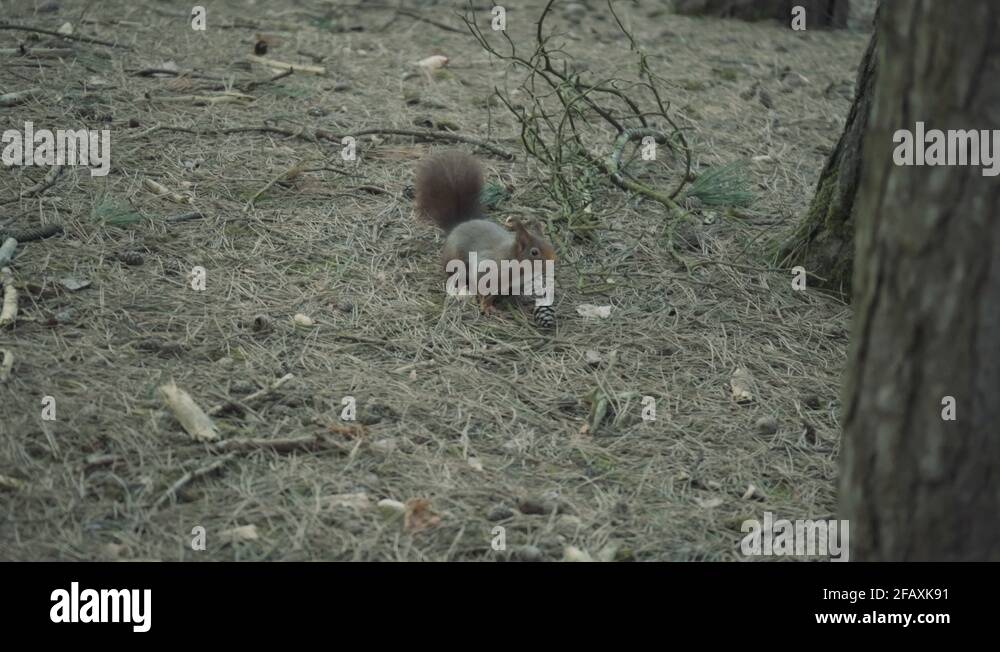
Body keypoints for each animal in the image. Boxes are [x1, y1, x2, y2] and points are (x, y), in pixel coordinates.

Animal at [415, 150, 556, 314]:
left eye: (549, 244)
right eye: (534, 252)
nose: (553, 260)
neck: (513, 260)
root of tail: (460, 224)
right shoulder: (487, 270)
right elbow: (483, 290)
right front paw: (486, 306)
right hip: (454, 260)